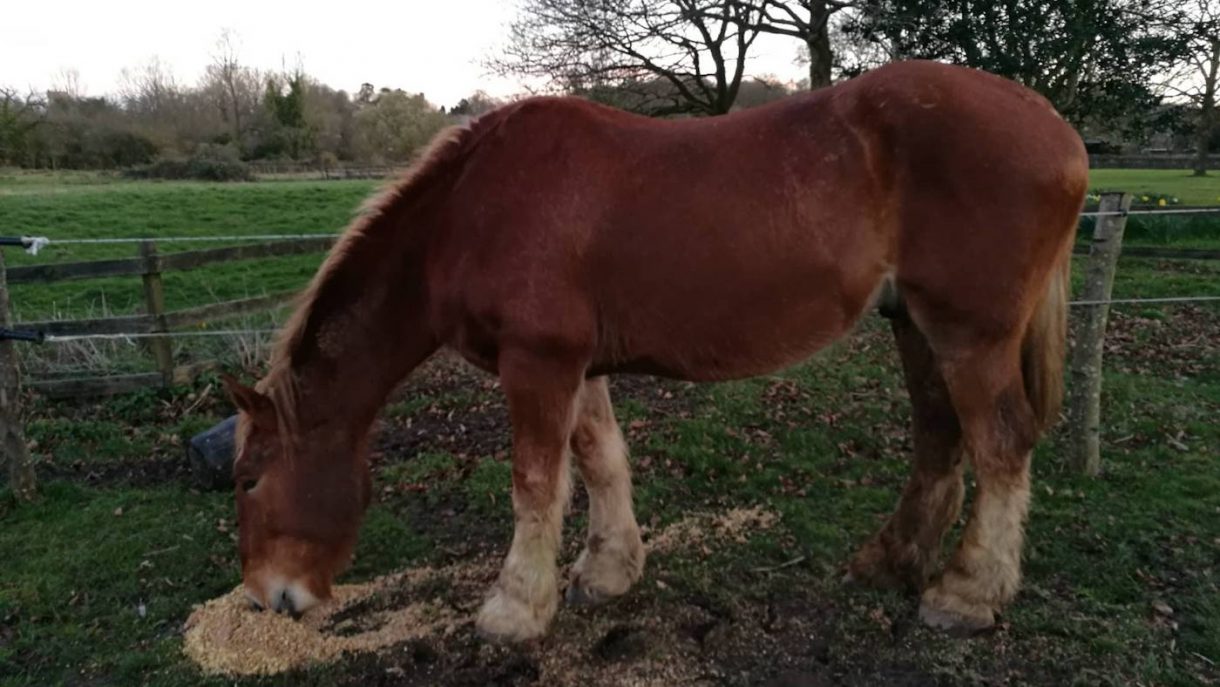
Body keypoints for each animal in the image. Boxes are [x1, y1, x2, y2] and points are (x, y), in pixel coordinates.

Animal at [222, 59, 1087, 642]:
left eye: (250, 476)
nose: (270, 596)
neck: (467, 211)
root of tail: (1057, 128)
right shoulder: (576, 365)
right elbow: (602, 460)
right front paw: (608, 571)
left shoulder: (537, 363)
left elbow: (535, 483)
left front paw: (514, 607)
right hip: (915, 324)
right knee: (940, 435)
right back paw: (894, 560)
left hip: (969, 333)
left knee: (1000, 444)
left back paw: (967, 592)